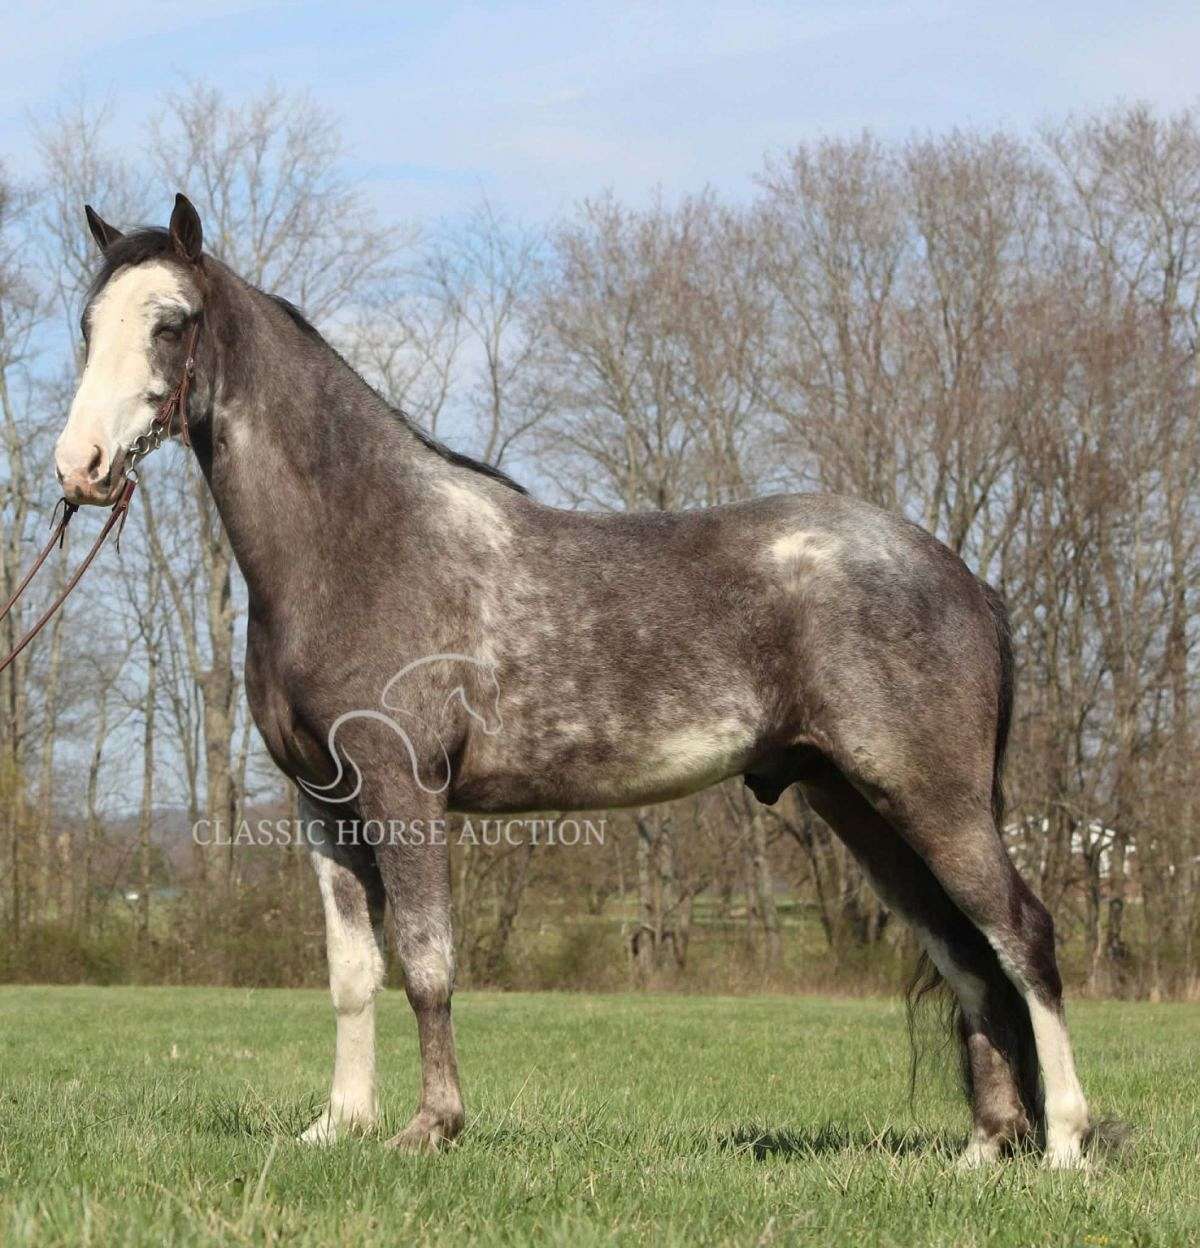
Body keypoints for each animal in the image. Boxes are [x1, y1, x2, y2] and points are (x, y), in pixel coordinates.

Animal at [52, 193, 1093, 1167]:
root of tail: (963, 577)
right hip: (861, 808)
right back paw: (985, 1148)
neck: (355, 540)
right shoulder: (324, 803)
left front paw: (432, 1127)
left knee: (1023, 937)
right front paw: (337, 1126)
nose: (81, 467)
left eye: (173, 320)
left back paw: (1066, 1147)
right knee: (965, 955)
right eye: (88, 323)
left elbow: (427, 960)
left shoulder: (403, 791)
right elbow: (353, 975)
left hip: (931, 799)